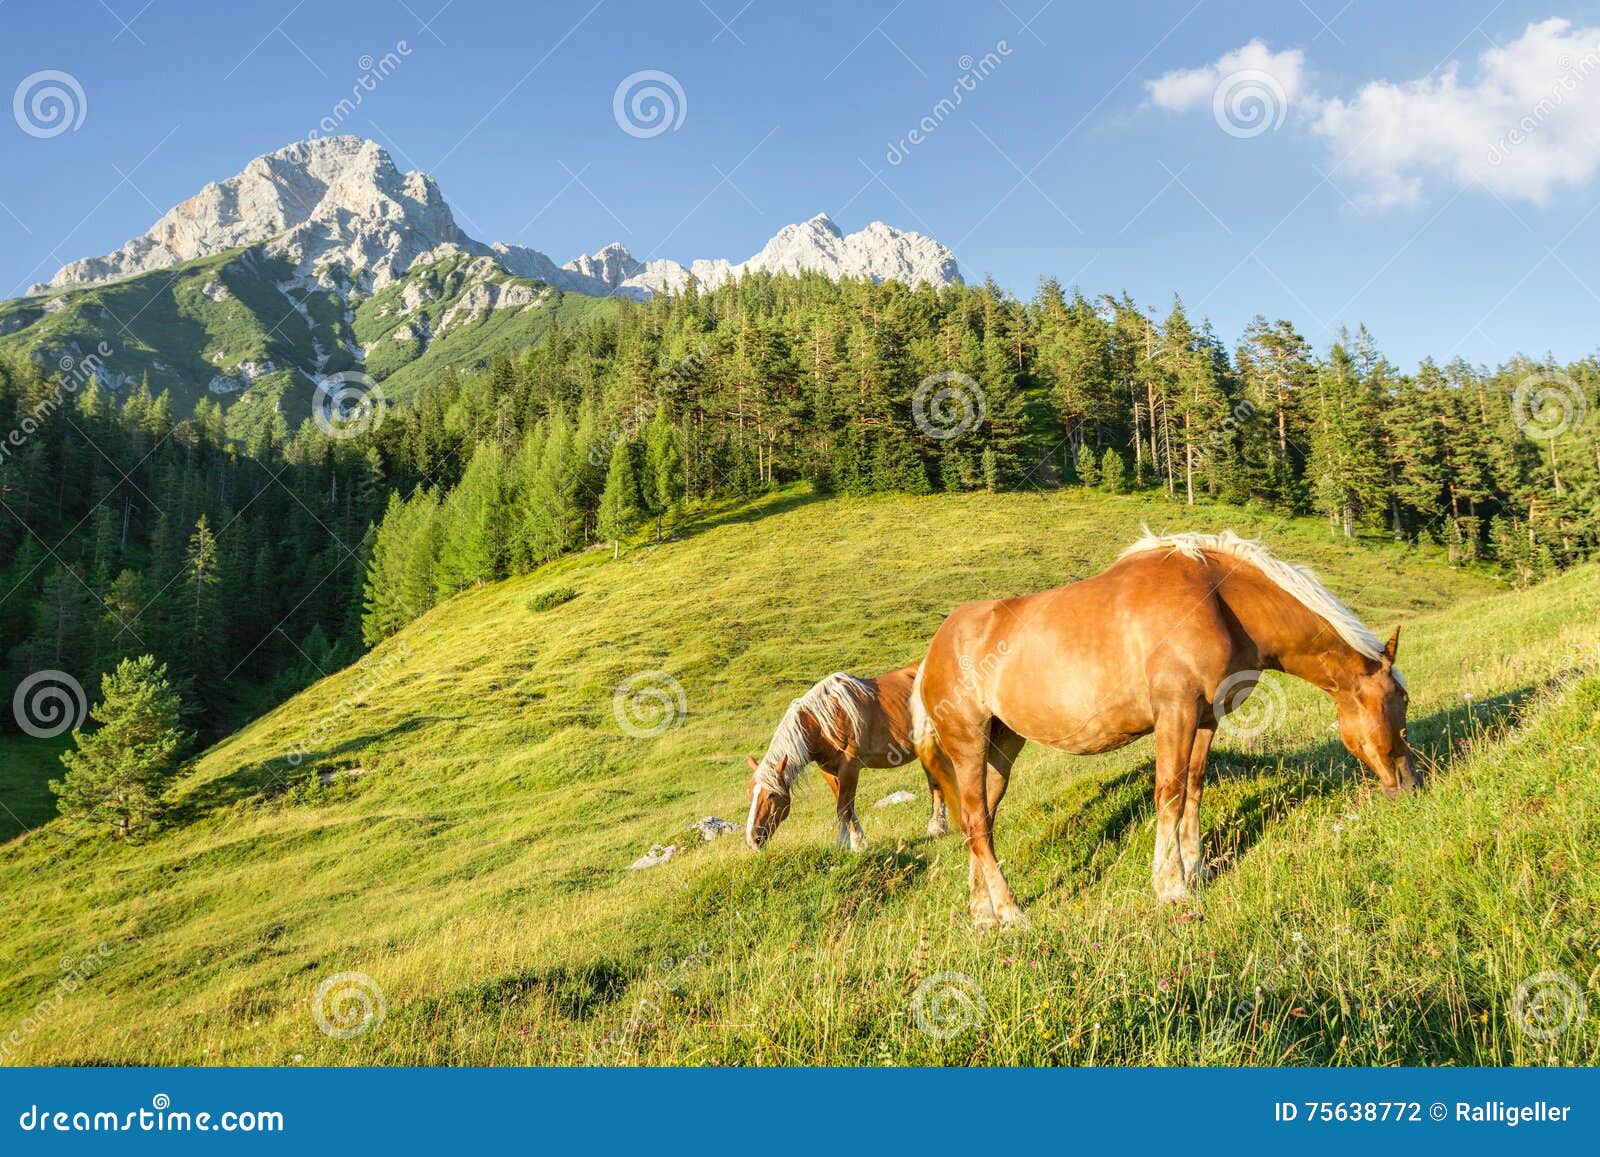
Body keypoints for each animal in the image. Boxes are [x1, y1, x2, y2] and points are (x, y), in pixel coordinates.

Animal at [744, 663, 949, 852]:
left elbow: (843, 808)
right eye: (750, 793)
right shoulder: (829, 772)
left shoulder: (849, 768)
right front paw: (859, 843)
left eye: (772, 795)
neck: (822, 723)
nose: (752, 841)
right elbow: (846, 807)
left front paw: (846, 845)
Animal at [911, 529, 1417, 930]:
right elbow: (1169, 792)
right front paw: (1170, 884)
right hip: (969, 745)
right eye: (1402, 700)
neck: (1218, 599)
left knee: (978, 822)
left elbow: (1193, 786)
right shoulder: (1176, 712)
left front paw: (1197, 868)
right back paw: (1010, 912)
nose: (1412, 783)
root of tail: (932, 652)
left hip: (1001, 749)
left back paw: (982, 914)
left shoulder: (1206, 718)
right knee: (977, 825)